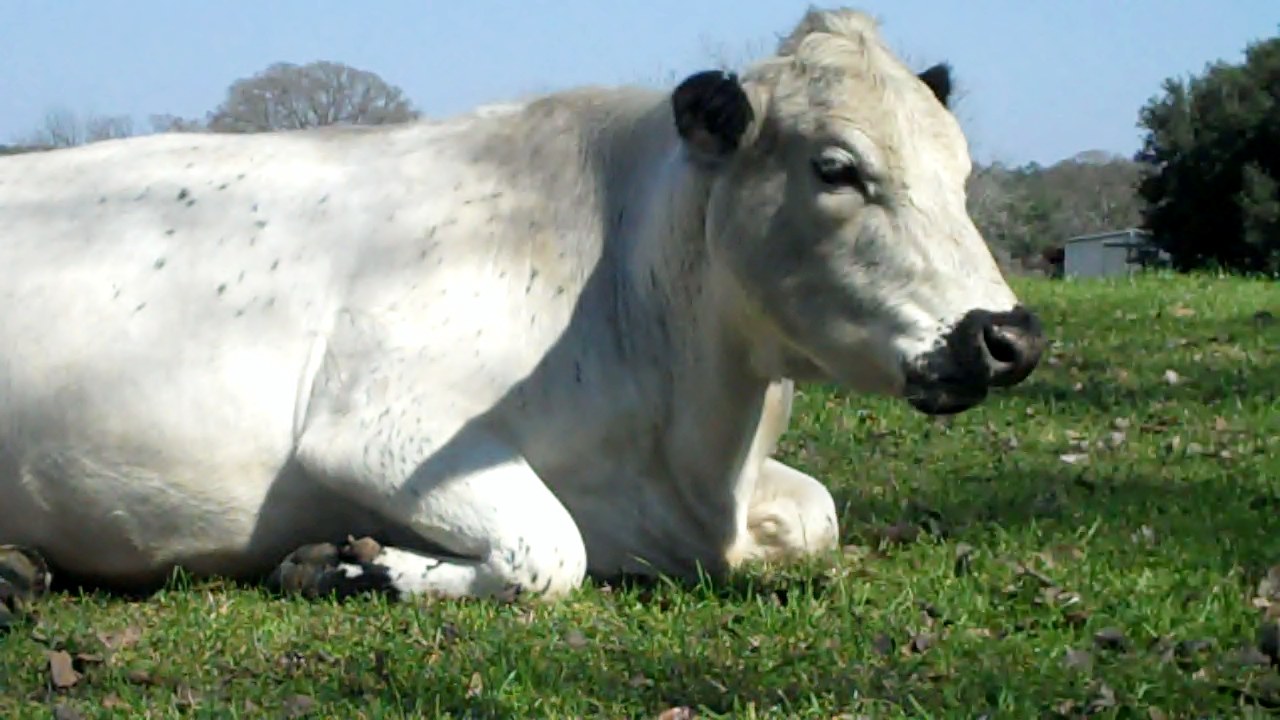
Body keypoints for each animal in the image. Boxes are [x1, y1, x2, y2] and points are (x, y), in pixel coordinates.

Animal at [0, 7, 1043, 611]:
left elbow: (819, 511)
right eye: (837, 168)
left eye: (961, 173)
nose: (1008, 335)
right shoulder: (379, 431)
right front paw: (352, 564)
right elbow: (551, 553)